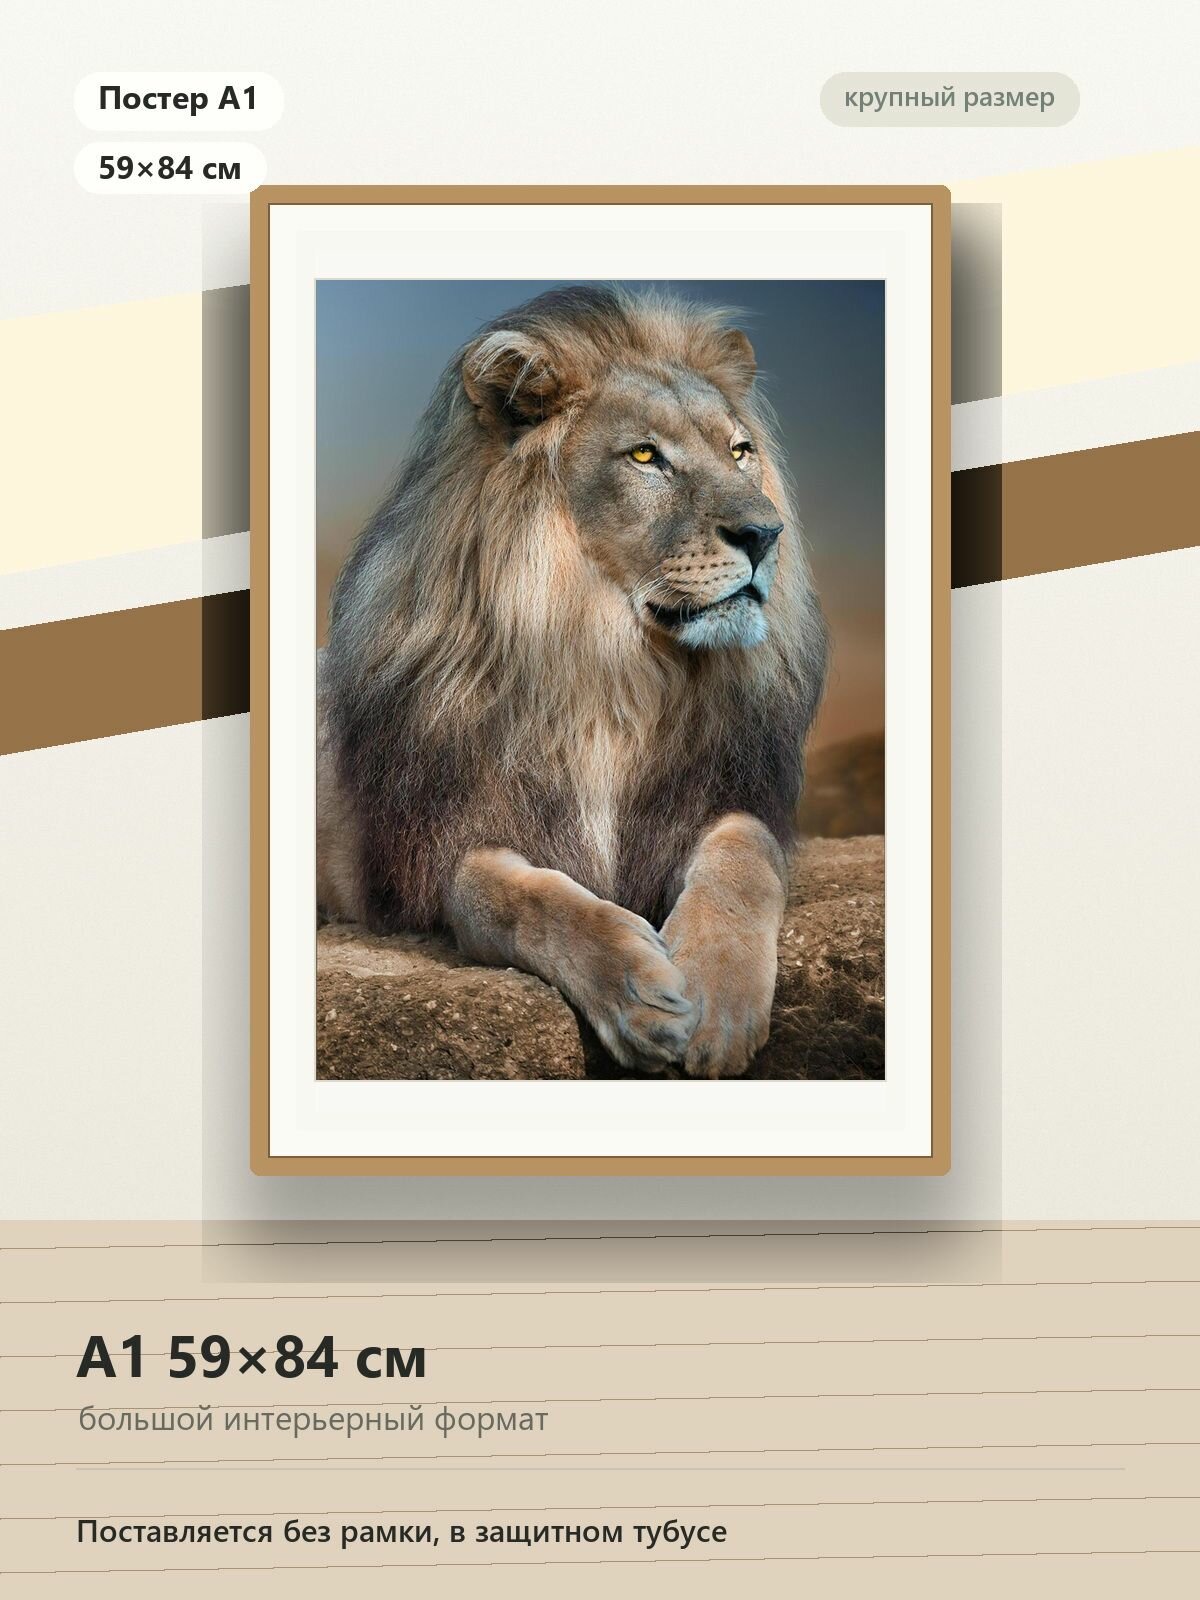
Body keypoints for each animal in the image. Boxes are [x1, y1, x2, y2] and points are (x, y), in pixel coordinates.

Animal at [318, 285, 828, 1076]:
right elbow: (515, 896)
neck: (610, 666)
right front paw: (641, 993)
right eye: (646, 456)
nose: (765, 534)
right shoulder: (437, 849)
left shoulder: (727, 795)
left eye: (740, 451)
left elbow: (746, 856)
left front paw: (717, 998)